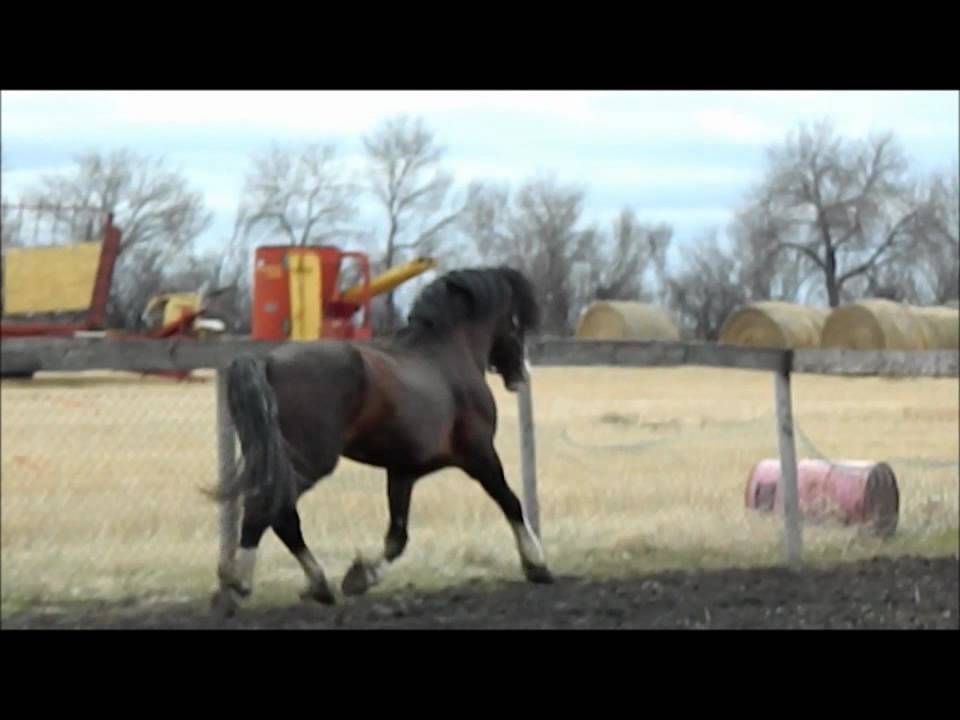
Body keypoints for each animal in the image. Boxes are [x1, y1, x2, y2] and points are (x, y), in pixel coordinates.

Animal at [211, 264, 554, 616]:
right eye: (516, 319)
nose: (522, 374)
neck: (447, 358)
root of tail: (268, 363)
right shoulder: (479, 454)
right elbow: (510, 501)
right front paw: (537, 566)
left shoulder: (403, 471)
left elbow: (397, 536)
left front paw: (360, 577)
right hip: (309, 462)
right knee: (270, 510)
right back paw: (240, 586)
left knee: (281, 515)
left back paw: (312, 585)